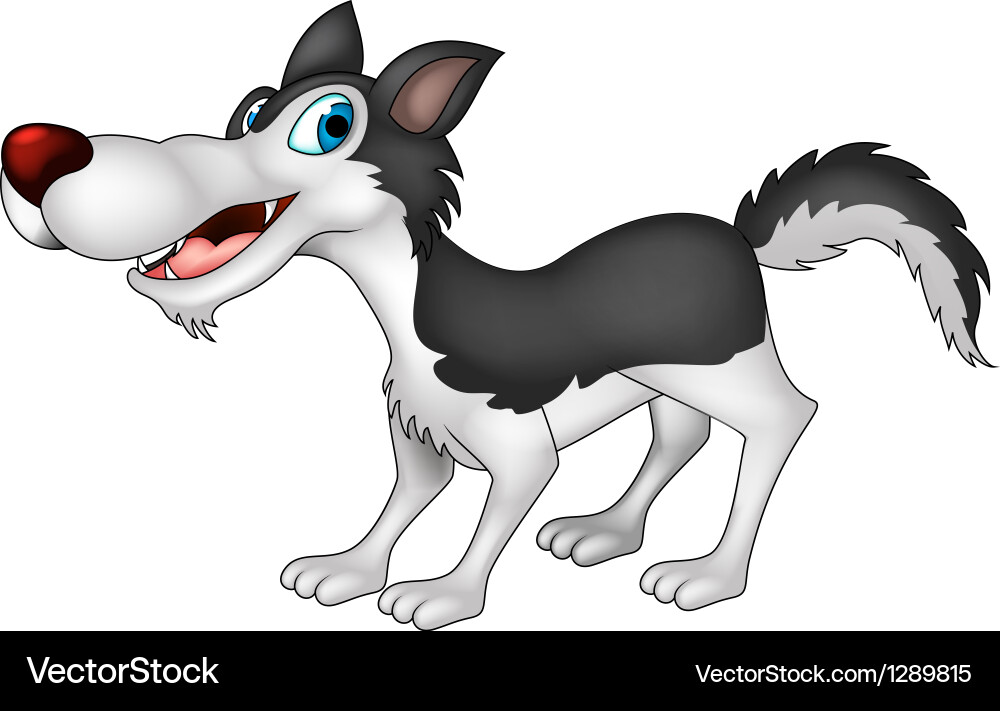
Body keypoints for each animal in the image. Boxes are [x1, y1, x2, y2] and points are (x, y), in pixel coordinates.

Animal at [1, 3, 990, 630]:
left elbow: (494, 514)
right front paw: (349, 569)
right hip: (665, 378)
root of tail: (736, 238)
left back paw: (711, 573)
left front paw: (444, 594)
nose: (35, 156)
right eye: (248, 109)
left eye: (327, 126)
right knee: (681, 436)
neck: (409, 311)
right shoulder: (415, 430)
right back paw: (607, 531)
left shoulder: (520, 448)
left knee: (785, 418)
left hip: (728, 364)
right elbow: (405, 498)